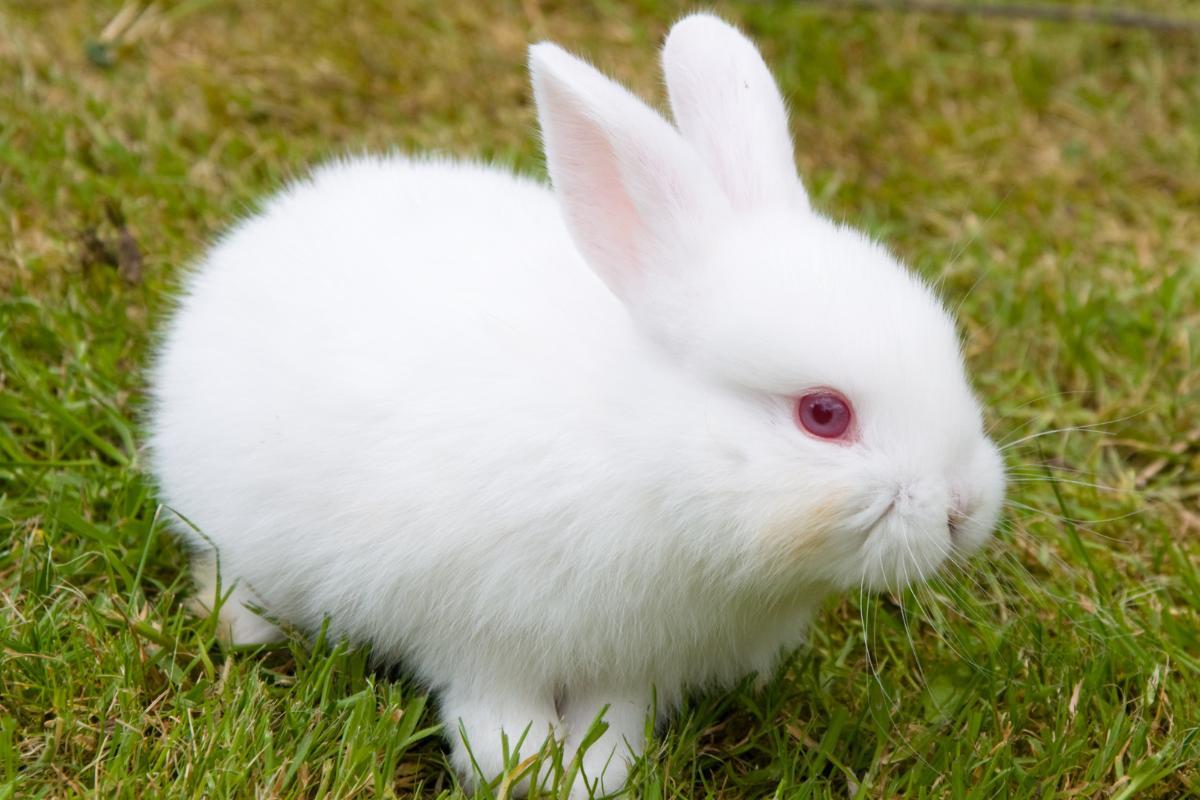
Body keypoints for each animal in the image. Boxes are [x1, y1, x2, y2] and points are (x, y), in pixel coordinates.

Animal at [147, 12, 1005, 797]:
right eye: (824, 415)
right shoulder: (477, 635)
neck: (653, 458)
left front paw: (594, 775)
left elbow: (613, 723)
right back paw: (245, 627)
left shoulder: (634, 666)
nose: (963, 509)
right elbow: (490, 712)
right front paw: (520, 768)